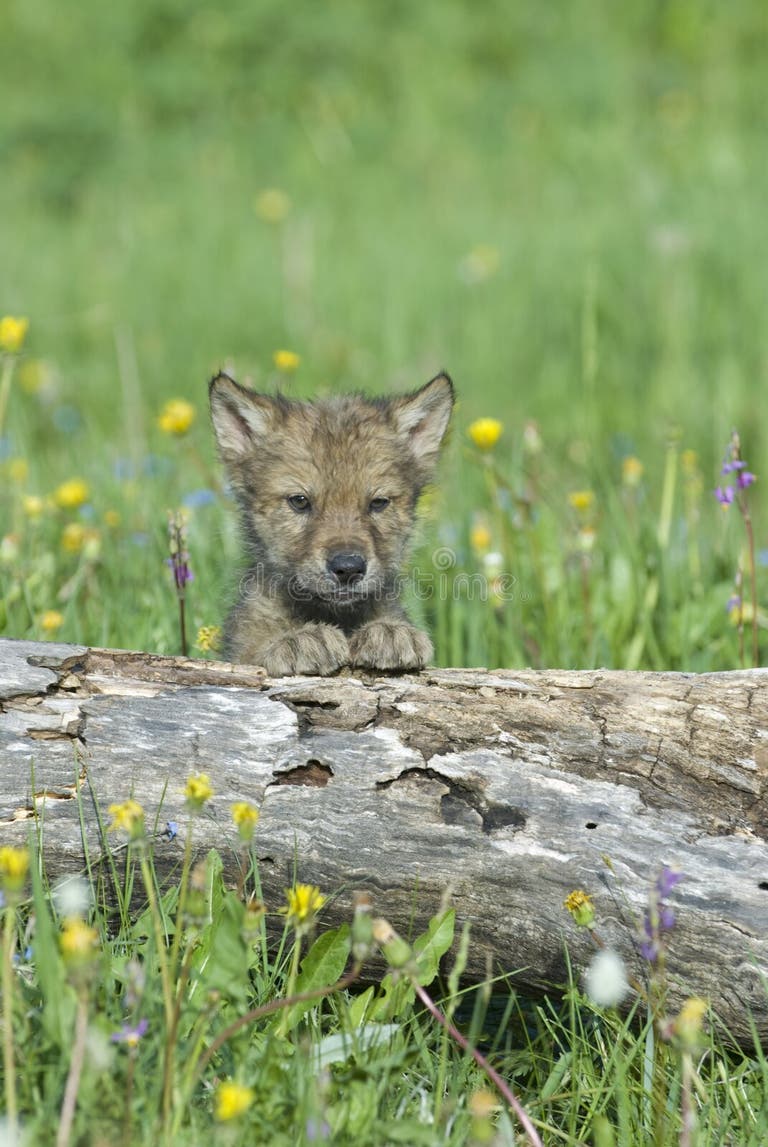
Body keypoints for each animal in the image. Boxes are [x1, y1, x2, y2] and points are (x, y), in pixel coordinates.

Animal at [209, 370, 454, 675]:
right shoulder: (240, 650)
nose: (348, 569)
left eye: (378, 503)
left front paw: (389, 632)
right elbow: (254, 651)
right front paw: (299, 640)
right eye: (300, 501)